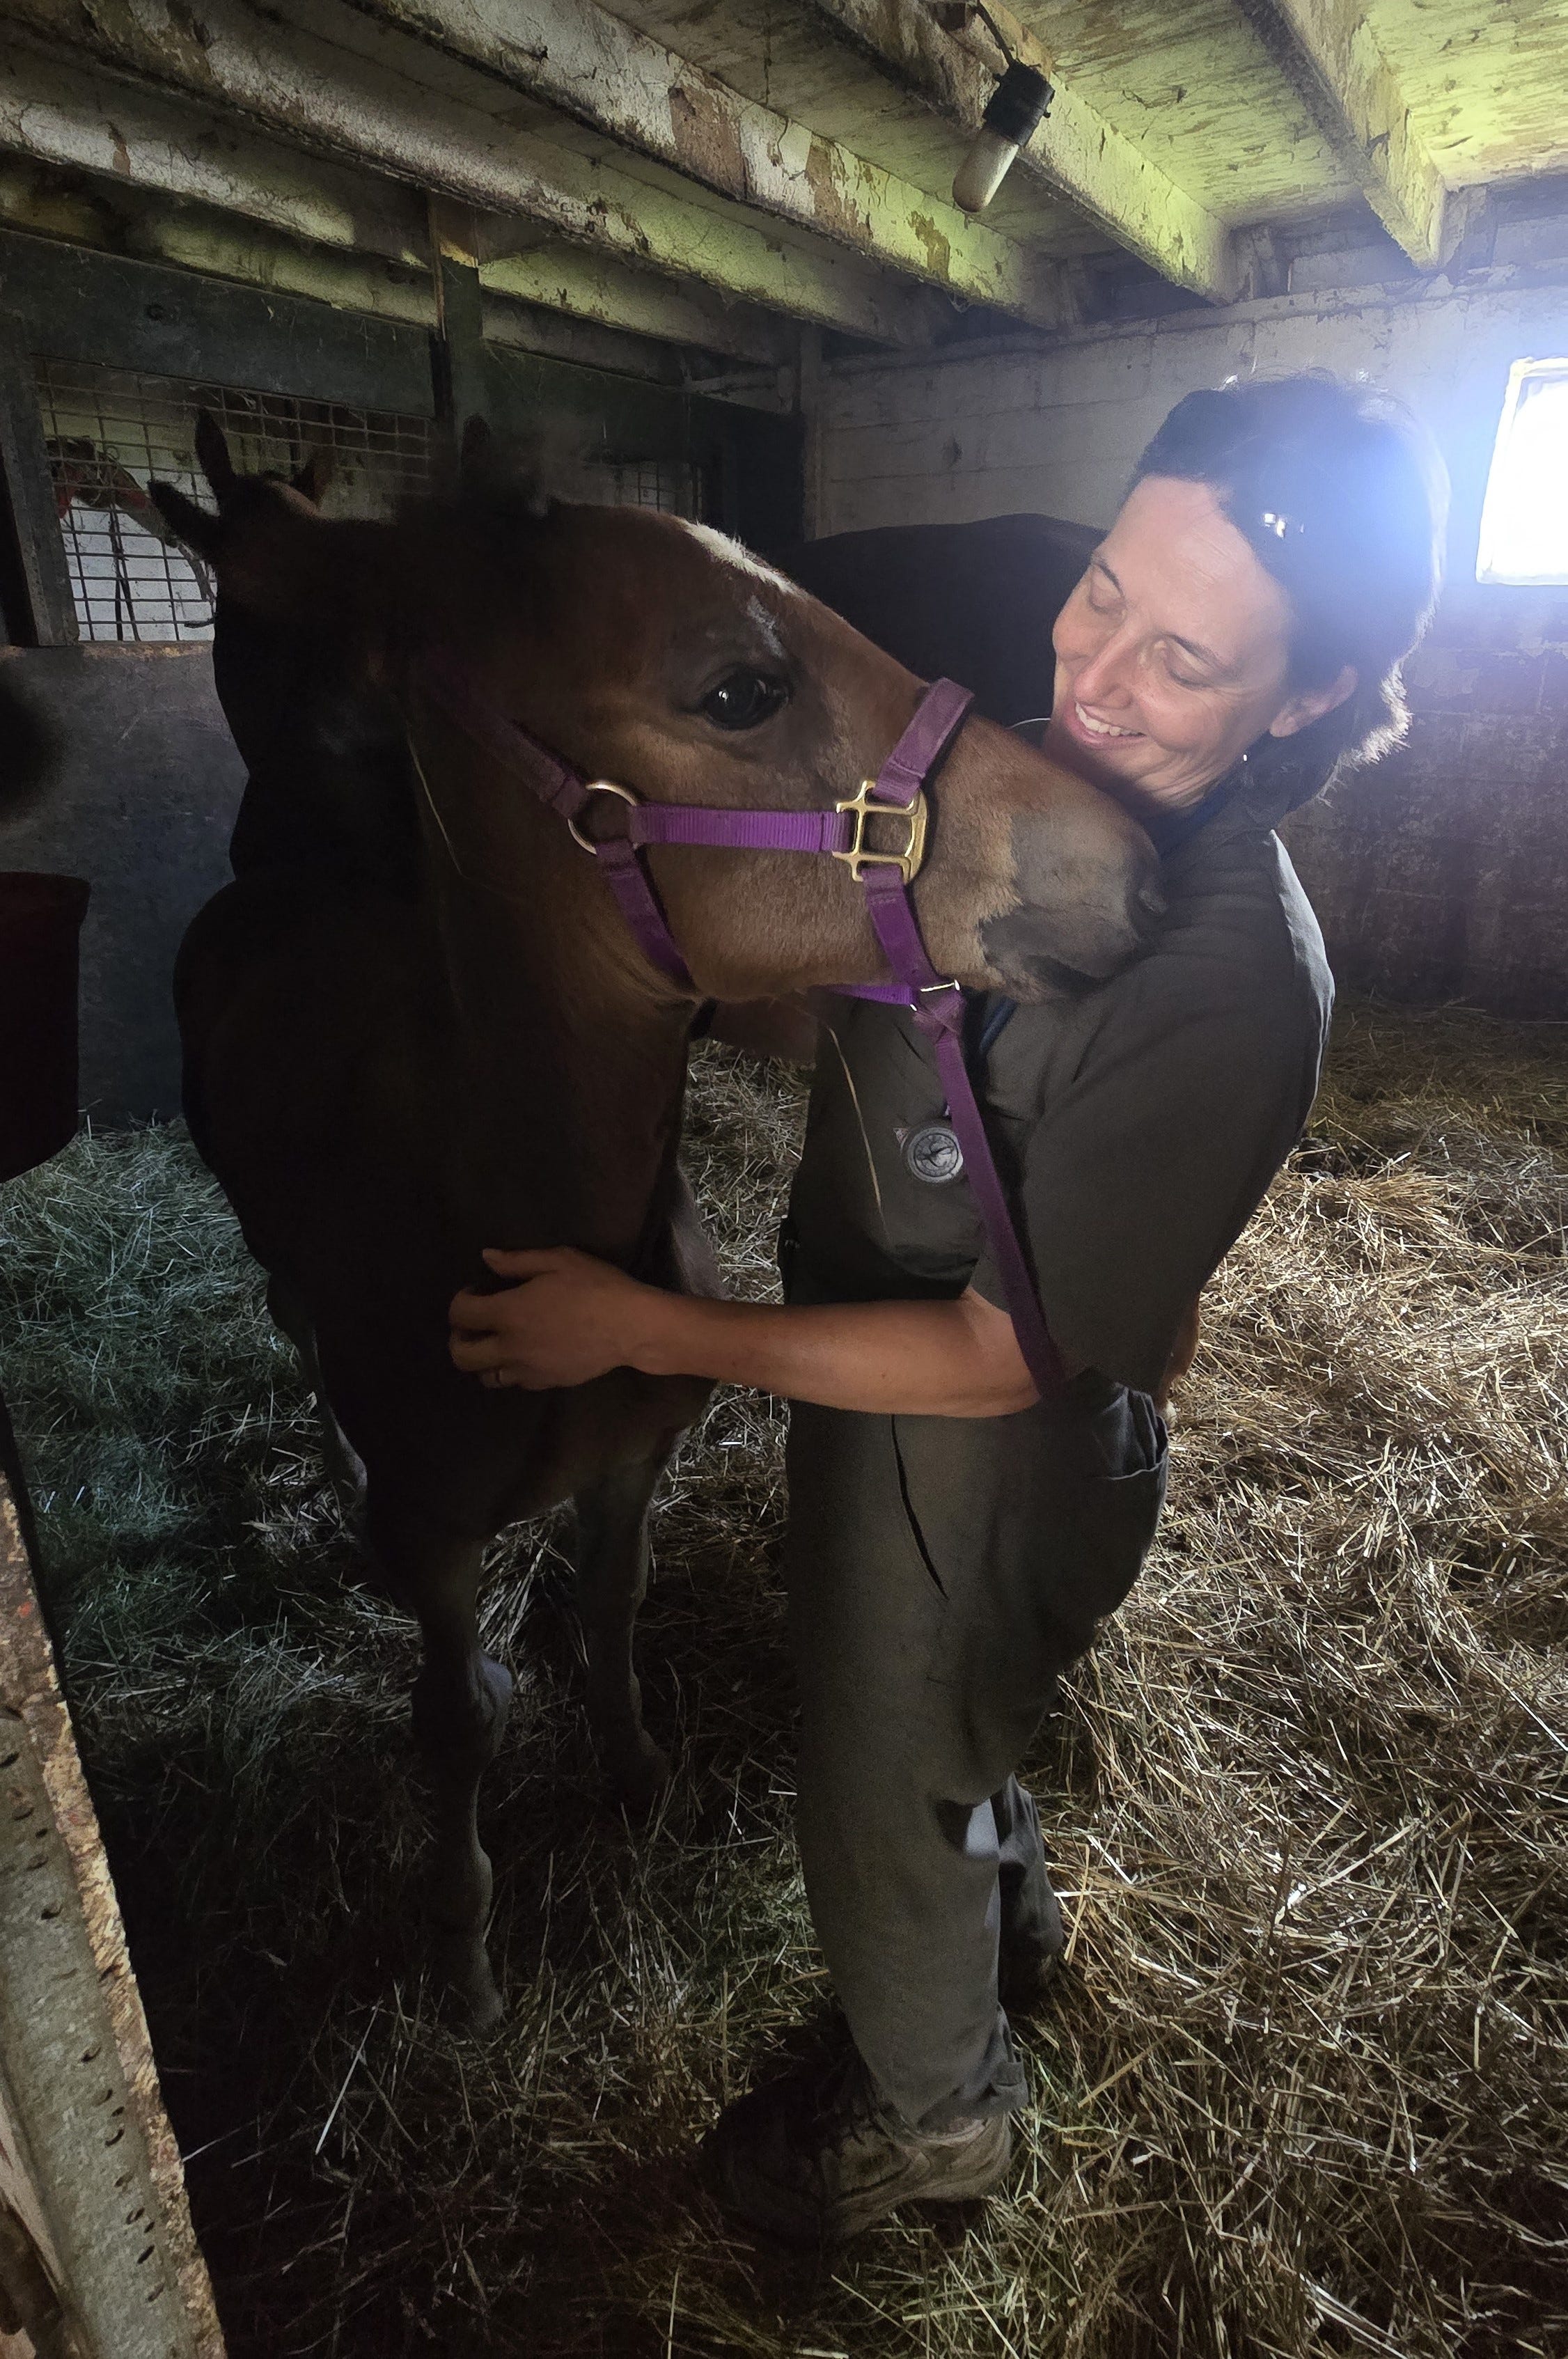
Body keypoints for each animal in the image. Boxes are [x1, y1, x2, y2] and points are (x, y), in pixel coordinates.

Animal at [150, 431, 1161, 2024]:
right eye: (739, 689)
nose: (1135, 867)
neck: (502, 1209)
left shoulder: (634, 1461)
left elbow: (611, 1603)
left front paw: (633, 1768)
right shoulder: (435, 1535)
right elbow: (457, 1713)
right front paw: (463, 1951)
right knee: (295, 1329)